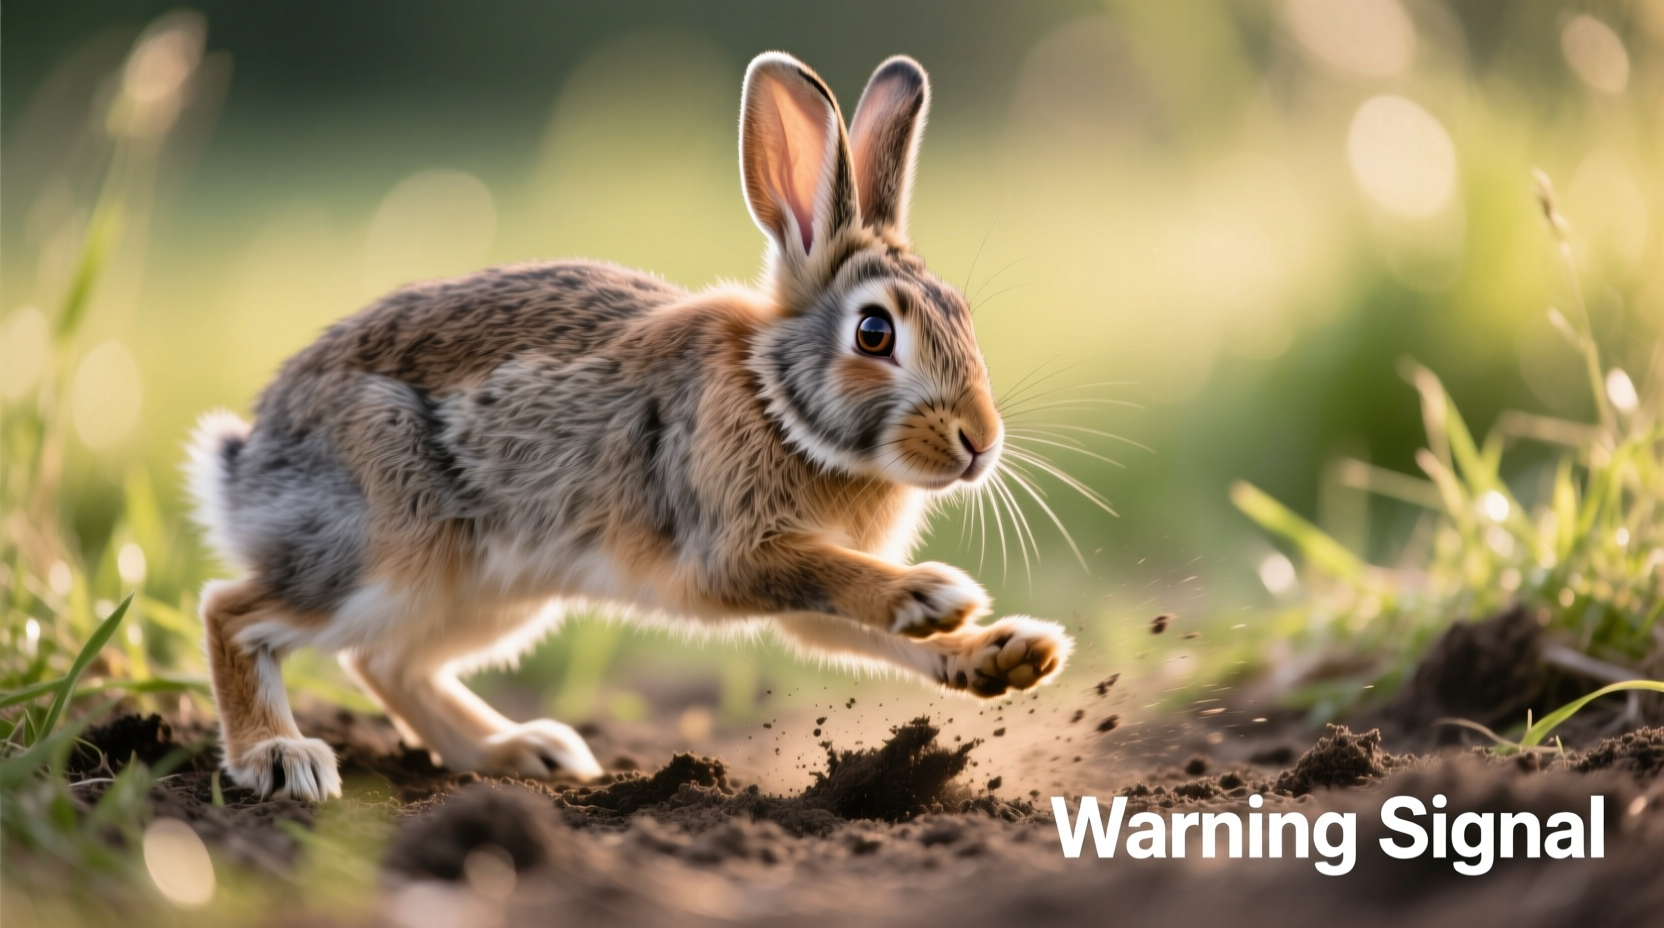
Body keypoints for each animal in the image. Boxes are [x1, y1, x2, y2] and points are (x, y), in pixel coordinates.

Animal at [186, 52, 1073, 802]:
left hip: (486, 596)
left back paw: (521, 752)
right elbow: (838, 574)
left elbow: (866, 629)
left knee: (387, 662)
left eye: (962, 315)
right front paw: (934, 593)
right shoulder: (735, 552)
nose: (979, 442)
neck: (775, 399)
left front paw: (1005, 652)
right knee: (234, 610)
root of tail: (247, 467)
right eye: (875, 333)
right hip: (388, 551)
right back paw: (280, 757)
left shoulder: (797, 595)